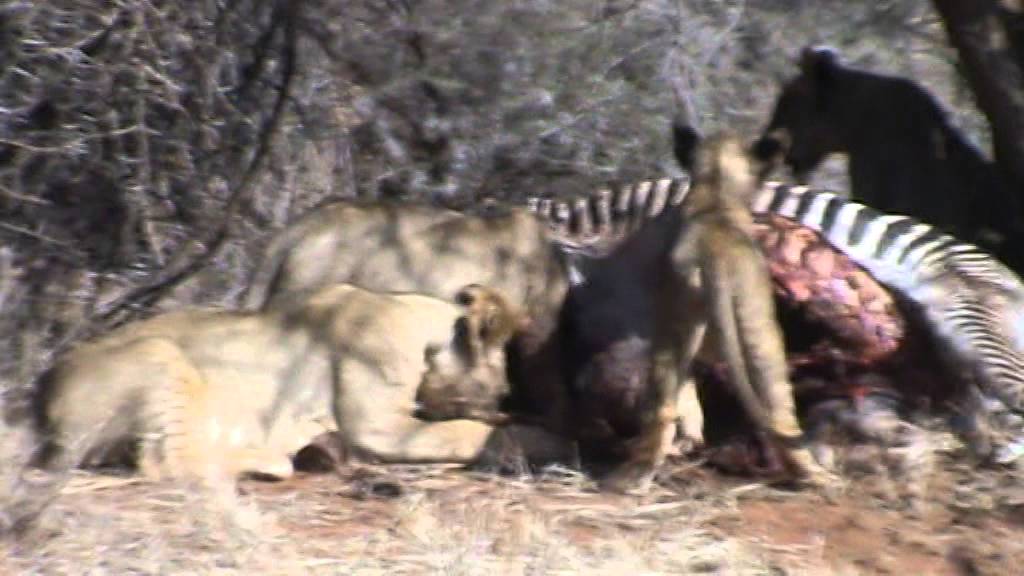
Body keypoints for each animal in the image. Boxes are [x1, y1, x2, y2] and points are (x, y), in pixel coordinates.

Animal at [31, 282, 568, 483]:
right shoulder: (381, 429)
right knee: (164, 461)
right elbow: (471, 432)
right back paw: (277, 457)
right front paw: (549, 439)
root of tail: (41, 399)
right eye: (503, 382)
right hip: (159, 353)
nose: (511, 398)